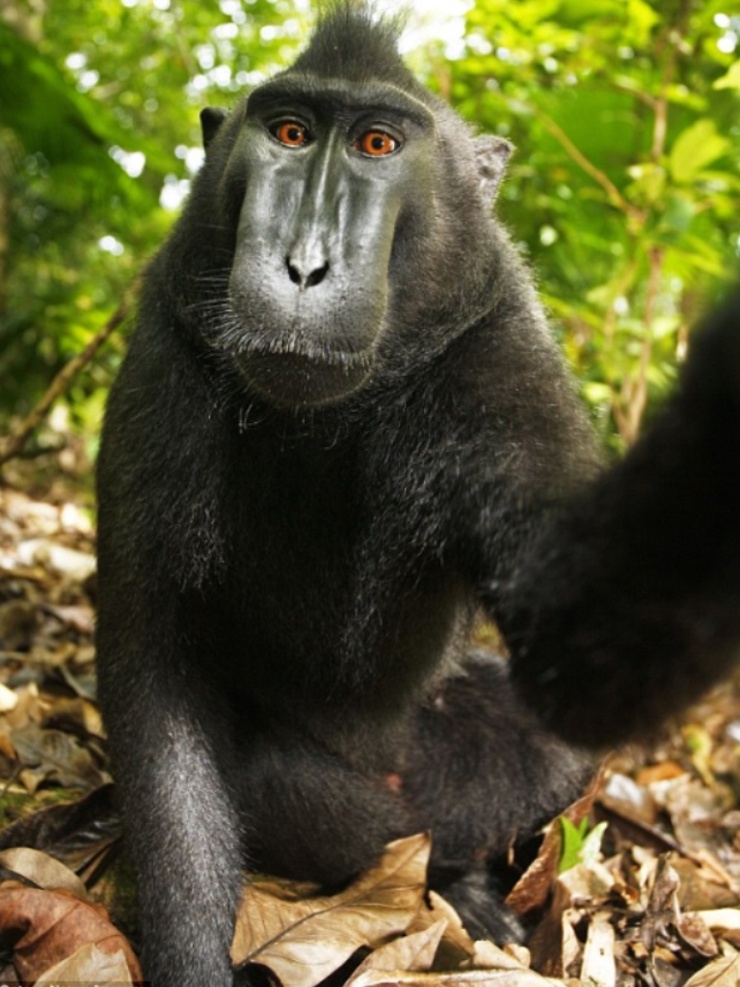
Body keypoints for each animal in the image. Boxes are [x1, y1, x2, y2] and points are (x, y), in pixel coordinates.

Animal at [96, 5, 740, 986]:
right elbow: (156, 677)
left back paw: (466, 884)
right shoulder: (168, 355)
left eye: (377, 143)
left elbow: (581, 652)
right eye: (290, 133)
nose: (305, 265)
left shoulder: (499, 352)